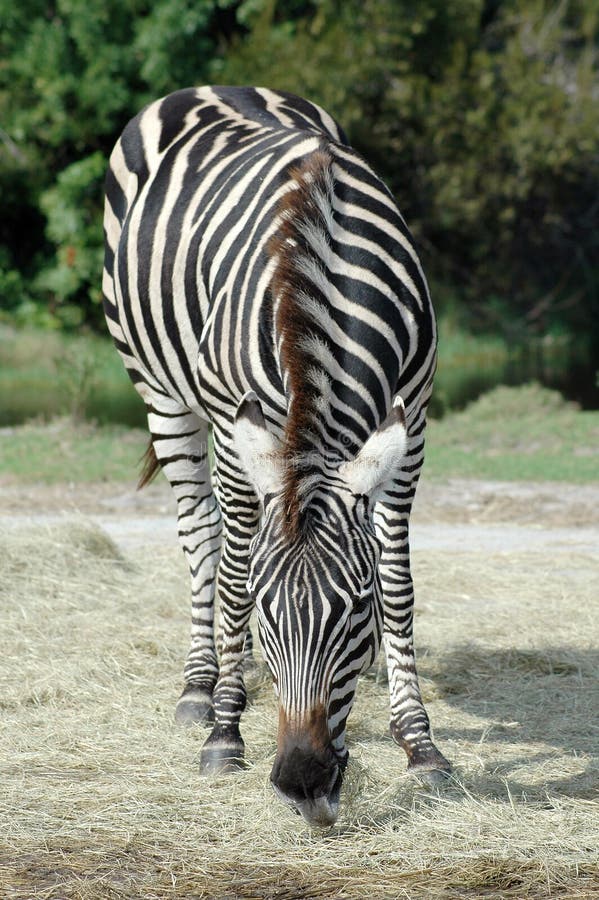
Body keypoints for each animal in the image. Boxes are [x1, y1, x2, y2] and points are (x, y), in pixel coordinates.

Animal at [103, 86, 450, 827]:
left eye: (357, 609)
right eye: (265, 607)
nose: (301, 780)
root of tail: (214, 85)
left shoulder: (412, 423)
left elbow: (399, 580)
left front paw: (419, 743)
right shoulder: (237, 433)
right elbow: (233, 571)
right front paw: (224, 732)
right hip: (160, 393)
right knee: (202, 533)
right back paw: (202, 686)